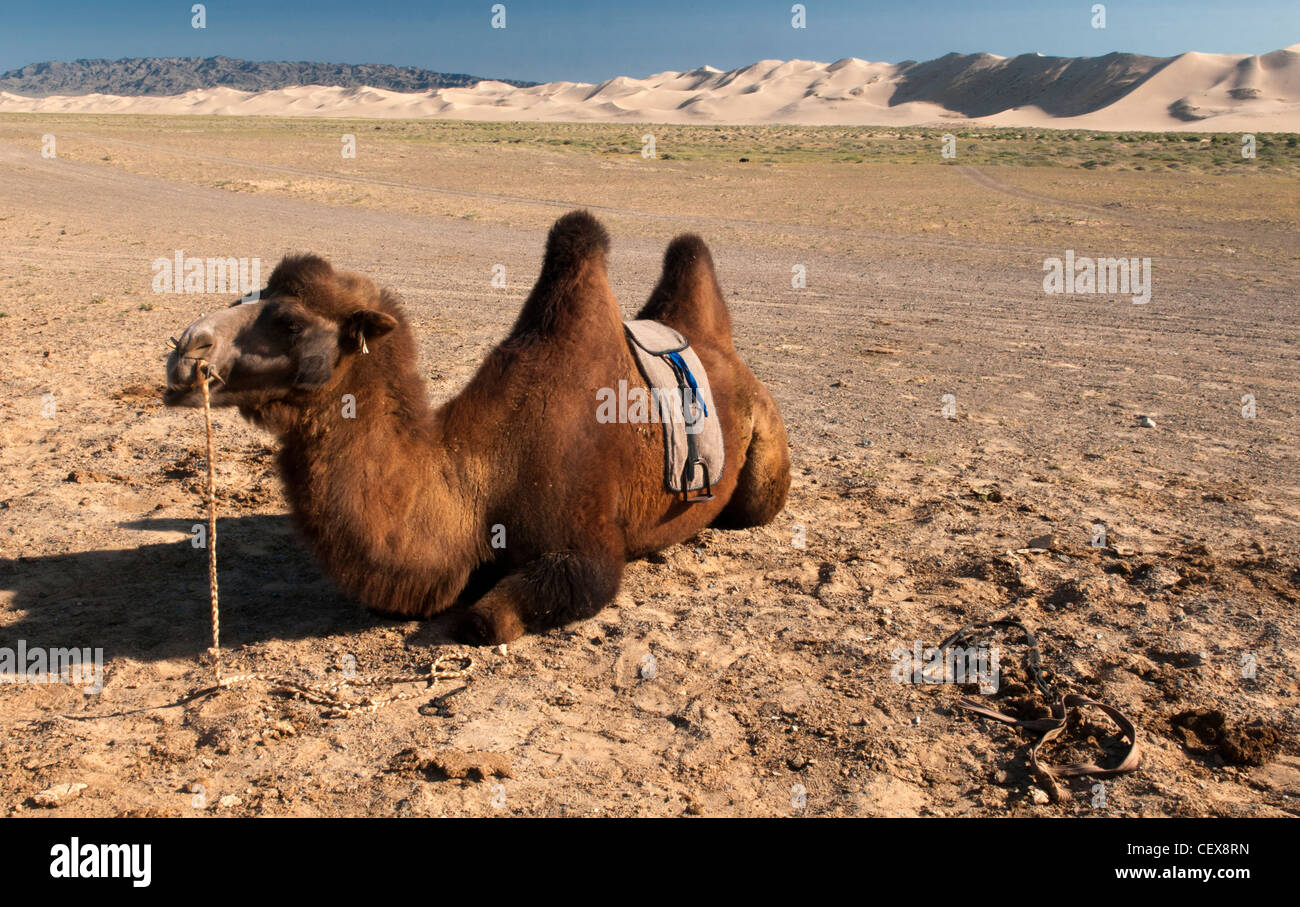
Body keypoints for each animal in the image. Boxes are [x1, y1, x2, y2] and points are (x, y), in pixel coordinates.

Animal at [163, 211, 790, 644]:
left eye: (290, 322)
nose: (185, 351)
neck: (481, 479)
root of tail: (724, 350)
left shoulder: (584, 546)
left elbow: (486, 622)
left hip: (766, 455)